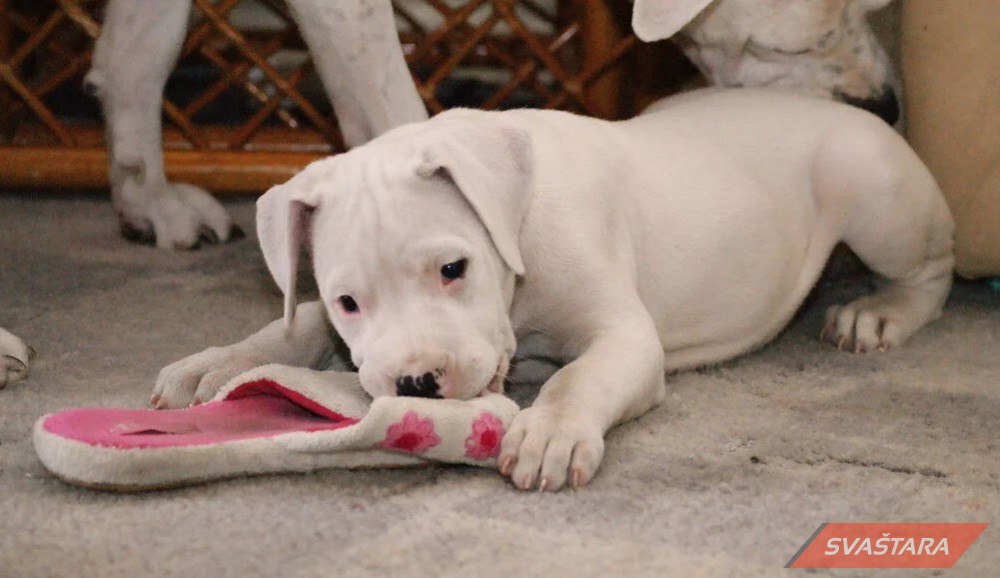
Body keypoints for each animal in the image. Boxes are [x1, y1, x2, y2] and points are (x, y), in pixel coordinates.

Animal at [152, 90, 956, 490]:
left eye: (454, 269)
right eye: (352, 301)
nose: (414, 384)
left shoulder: (624, 337)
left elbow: (579, 377)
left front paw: (549, 433)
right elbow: (299, 321)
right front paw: (214, 364)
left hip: (876, 196)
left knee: (934, 267)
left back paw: (876, 313)